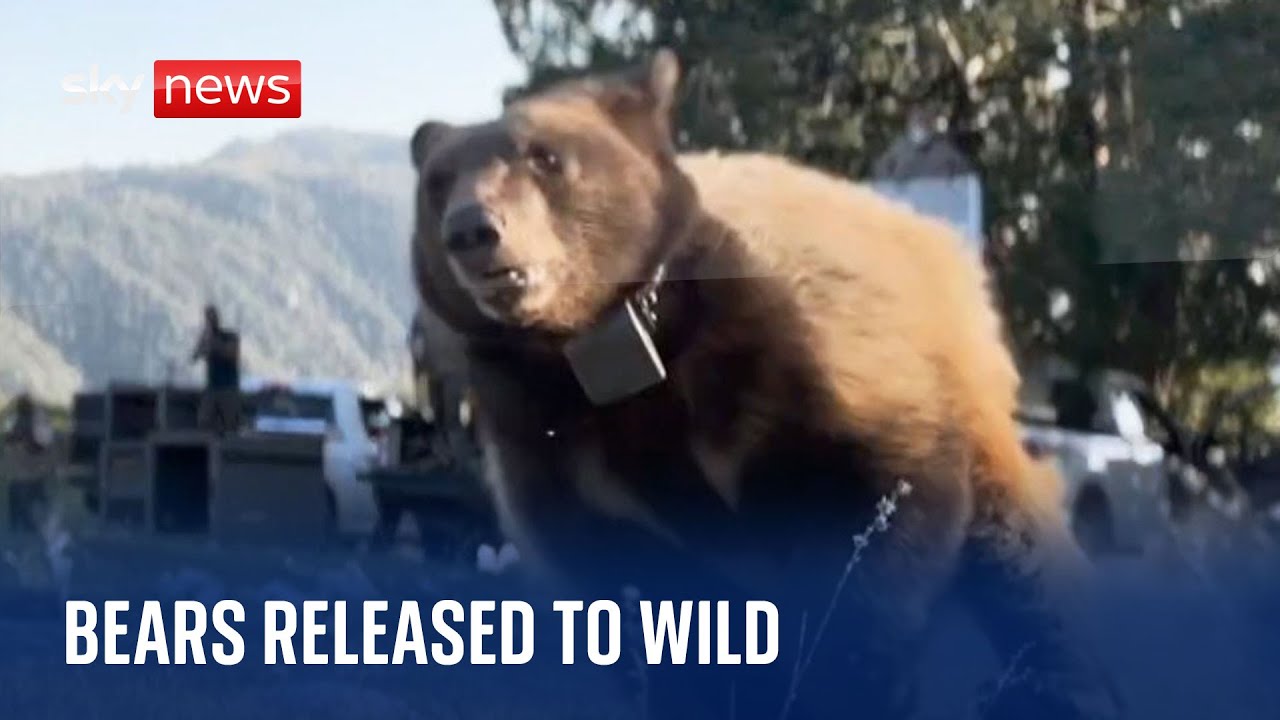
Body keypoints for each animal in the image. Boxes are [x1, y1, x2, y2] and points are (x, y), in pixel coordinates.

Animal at [407, 49, 1120, 720]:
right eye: (437, 182)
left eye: (545, 156)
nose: (472, 230)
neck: (605, 357)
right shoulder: (547, 445)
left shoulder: (802, 358)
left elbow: (889, 504)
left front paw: (849, 675)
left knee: (1021, 555)